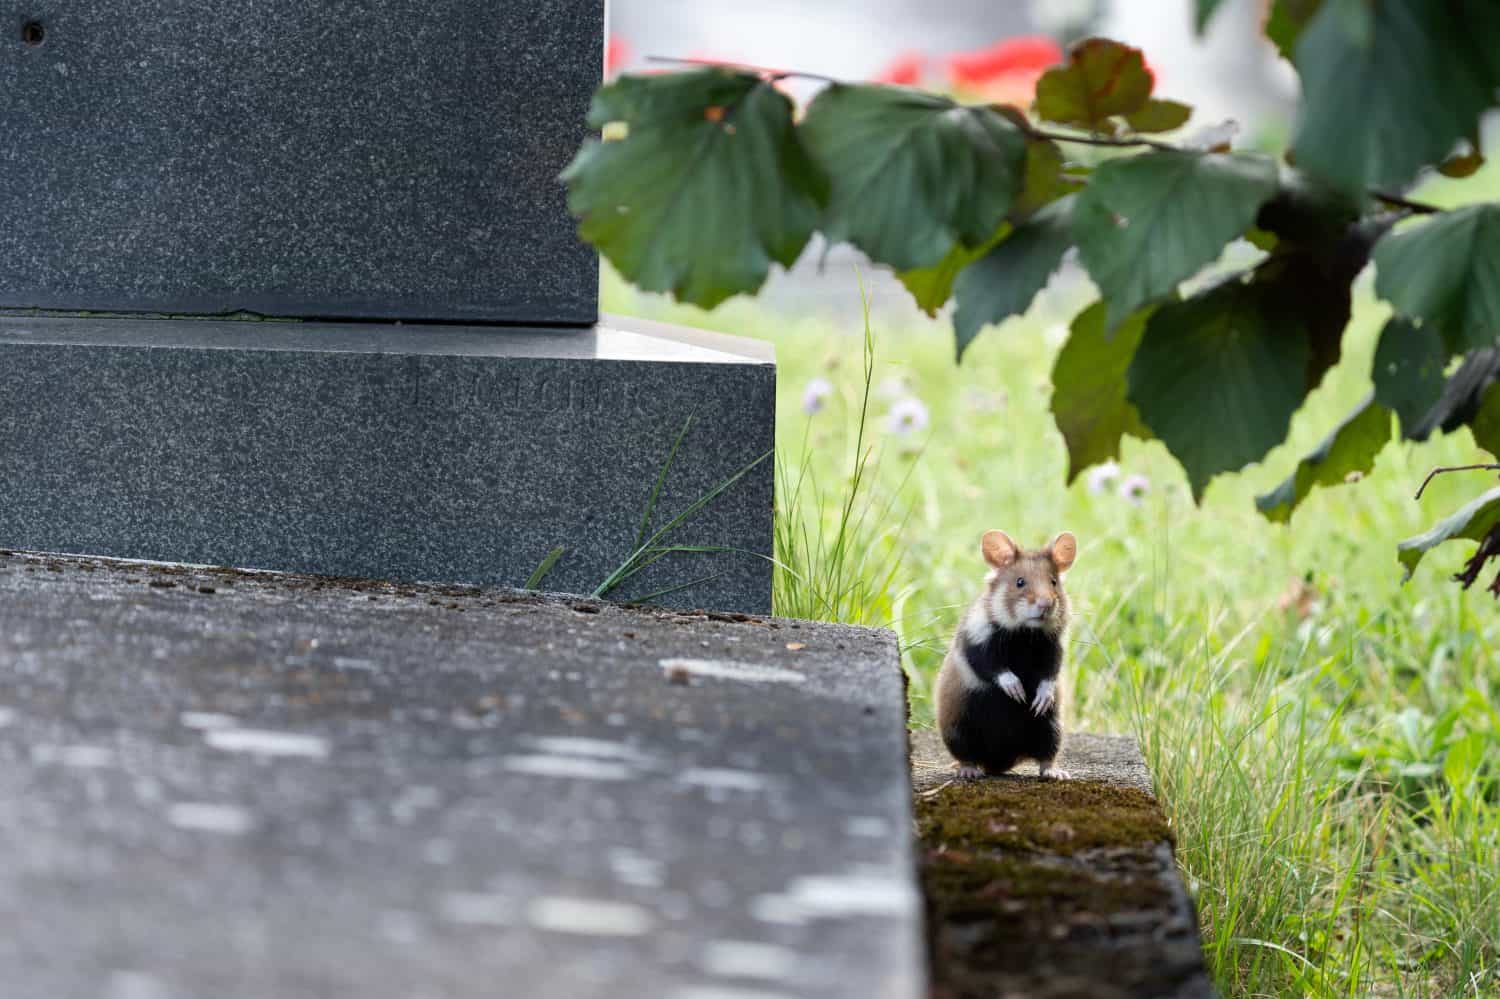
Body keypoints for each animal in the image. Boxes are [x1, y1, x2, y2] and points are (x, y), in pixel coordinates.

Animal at [935, 529, 1077, 780]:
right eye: (1020, 582)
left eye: (1053, 582)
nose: (1046, 605)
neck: (1025, 634)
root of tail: (997, 763)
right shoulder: (976, 643)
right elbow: (994, 667)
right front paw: (1017, 692)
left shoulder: (1053, 649)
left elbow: (1049, 674)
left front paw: (1039, 700)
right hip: (958, 727)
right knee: (965, 755)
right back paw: (969, 771)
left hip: (1051, 727)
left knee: (1046, 756)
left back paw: (1056, 773)